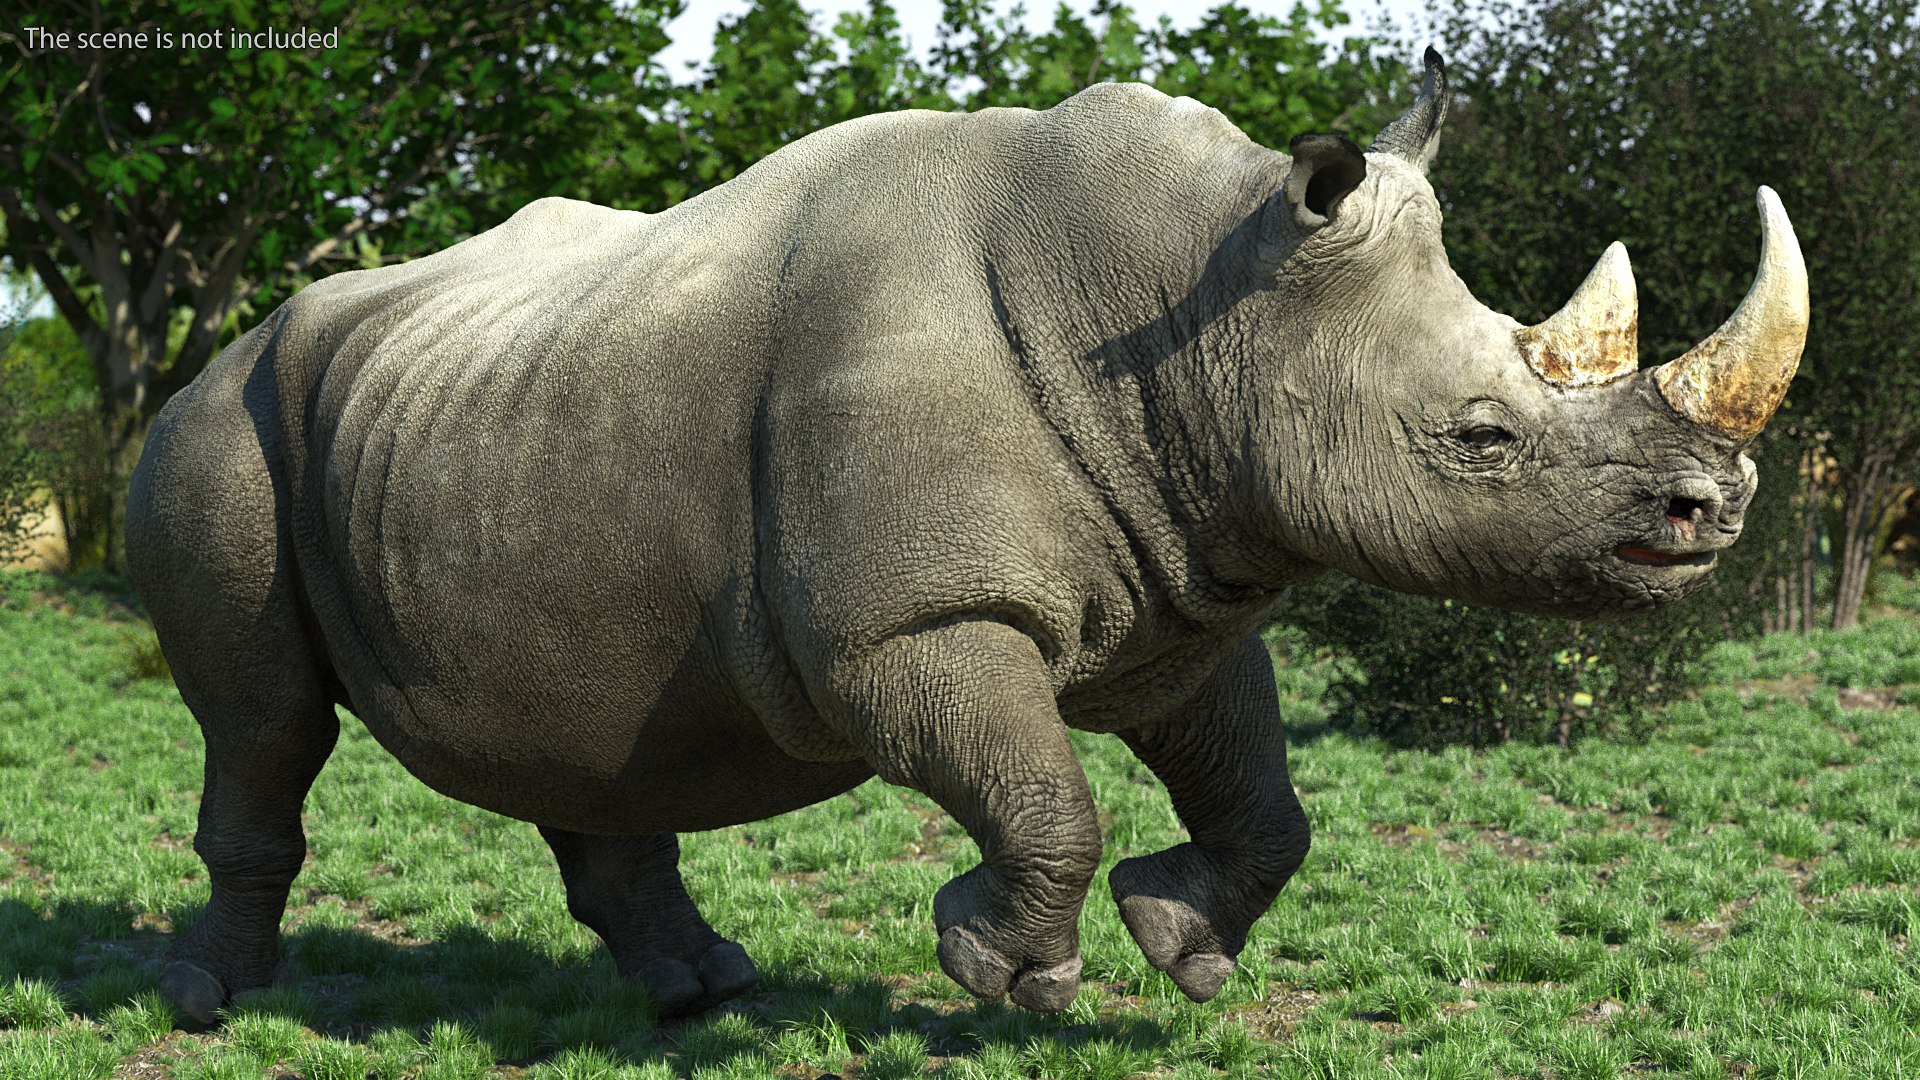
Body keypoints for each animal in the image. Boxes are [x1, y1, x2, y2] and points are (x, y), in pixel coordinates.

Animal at [127, 49, 1807, 1021]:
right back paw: (211, 1004)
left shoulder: (1186, 584)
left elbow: (1268, 801)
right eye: (1480, 437)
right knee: (261, 719)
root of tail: (222, 349)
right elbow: (1044, 798)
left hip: (500, 413)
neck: (1193, 307)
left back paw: (694, 994)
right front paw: (1010, 970)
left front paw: (1182, 952)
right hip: (219, 436)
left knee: (587, 727)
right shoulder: (907, 622)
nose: (1709, 514)